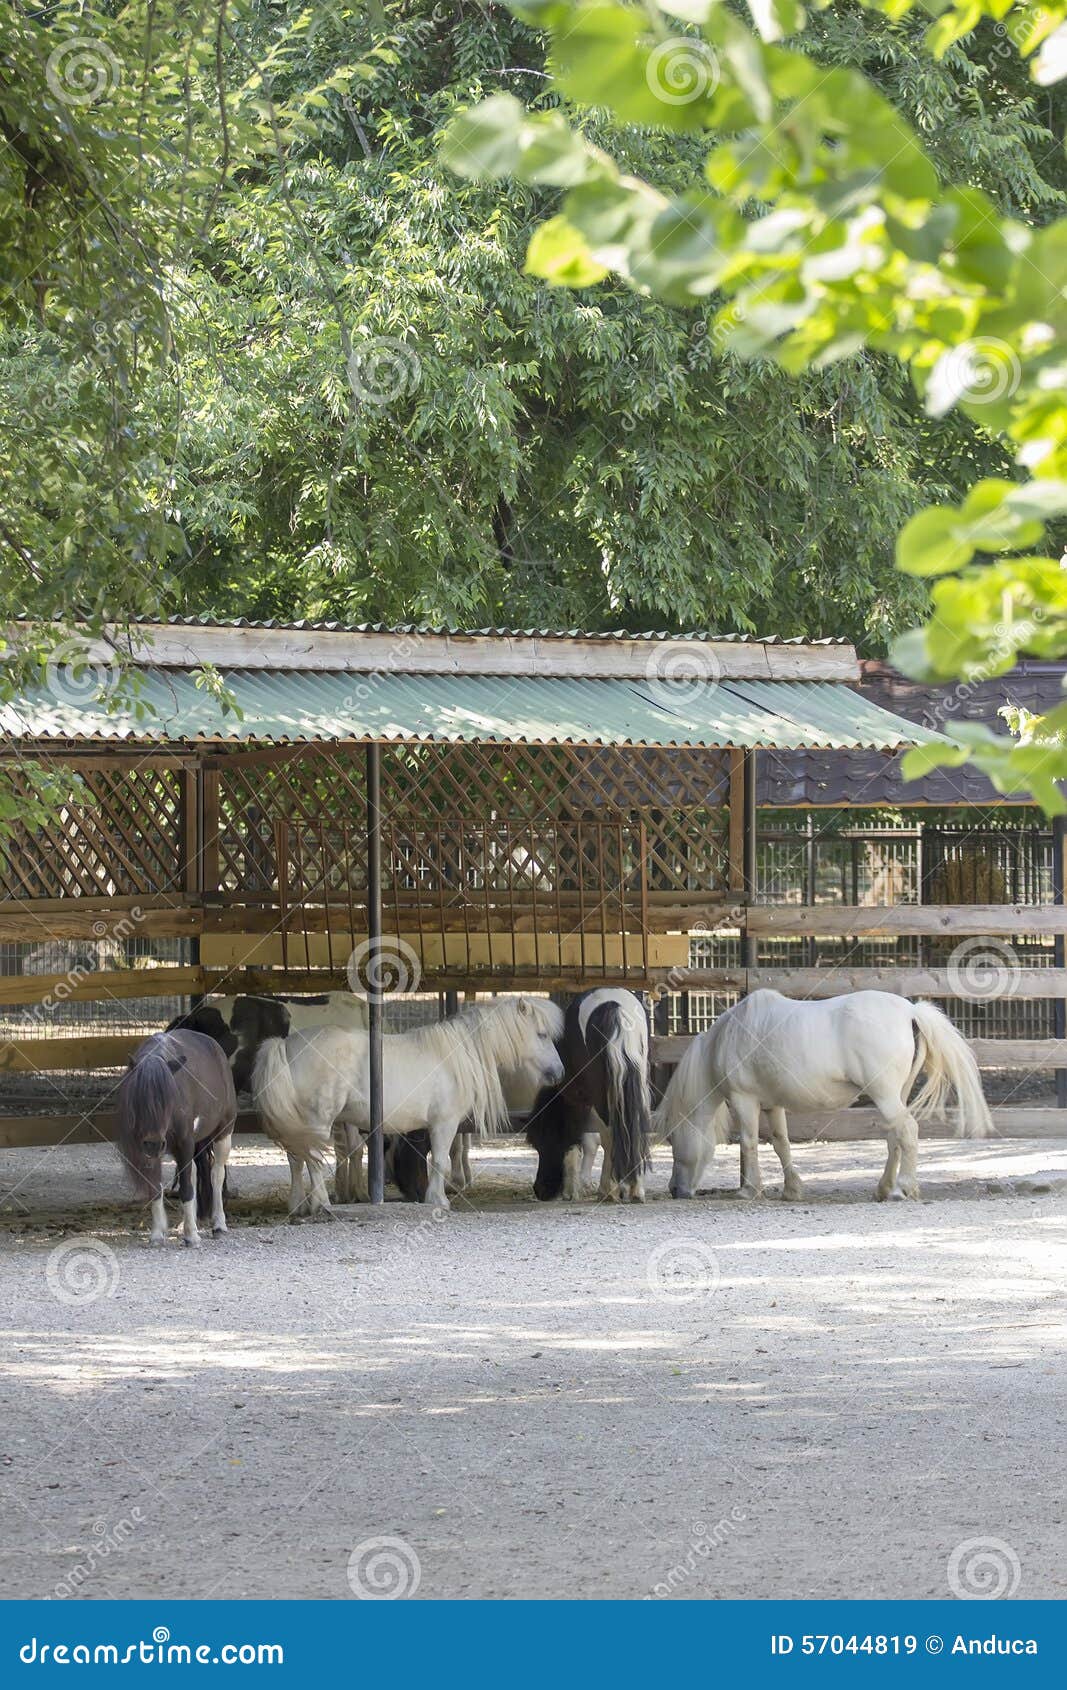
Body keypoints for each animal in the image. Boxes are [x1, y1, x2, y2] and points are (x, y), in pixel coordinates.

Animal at [115, 1029, 238, 1246]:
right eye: (139, 1098)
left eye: (168, 1099)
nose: (154, 1144)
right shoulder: (147, 1148)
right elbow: (156, 1186)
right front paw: (158, 1232)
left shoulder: (184, 1143)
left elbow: (187, 1188)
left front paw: (192, 1237)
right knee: (194, 1172)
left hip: (224, 1132)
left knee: (216, 1174)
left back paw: (219, 1225)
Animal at [252, 995, 564, 1213]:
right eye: (541, 1034)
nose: (559, 1072)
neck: (458, 1054)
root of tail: (286, 1045)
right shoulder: (444, 1123)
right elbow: (440, 1160)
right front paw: (438, 1200)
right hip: (318, 1121)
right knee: (313, 1160)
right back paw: (321, 1204)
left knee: (296, 1159)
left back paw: (298, 1206)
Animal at [526, 987, 651, 1203]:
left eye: (541, 1142)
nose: (540, 1190)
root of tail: (613, 1006)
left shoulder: (576, 1100)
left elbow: (583, 1140)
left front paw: (572, 1190)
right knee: (635, 1128)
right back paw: (635, 1189)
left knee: (610, 1133)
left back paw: (612, 1189)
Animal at [657, 989, 993, 1203]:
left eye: (673, 1138)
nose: (675, 1189)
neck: (728, 1038)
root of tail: (910, 1012)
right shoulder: (772, 1104)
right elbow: (781, 1144)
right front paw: (792, 1190)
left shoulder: (745, 1099)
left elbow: (749, 1143)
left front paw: (749, 1190)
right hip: (895, 1095)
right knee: (894, 1137)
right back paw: (883, 1189)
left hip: (885, 1094)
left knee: (907, 1131)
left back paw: (901, 1189)